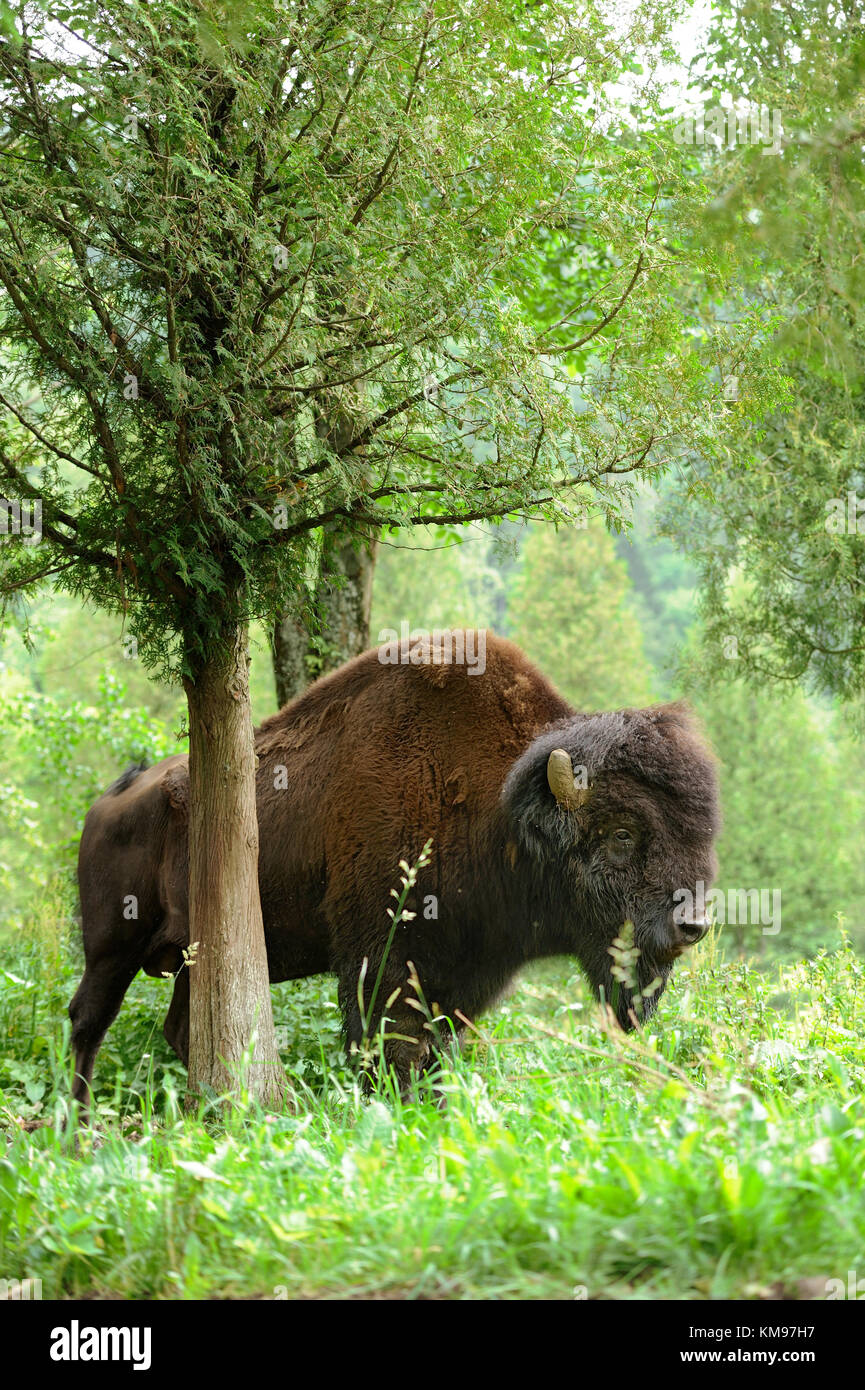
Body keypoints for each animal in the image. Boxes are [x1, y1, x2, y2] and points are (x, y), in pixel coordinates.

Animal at [70, 630, 720, 1103]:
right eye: (621, 834)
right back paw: (78, 1131)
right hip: (112, 948)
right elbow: (394, 1048)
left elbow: (437, 1053)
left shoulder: (463, 977)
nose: (691, 926)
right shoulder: (381, 958)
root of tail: (110, 801)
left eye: (703, 837)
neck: (499, 806)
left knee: (185, 1031)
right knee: (87, 1022)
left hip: (192, 959)